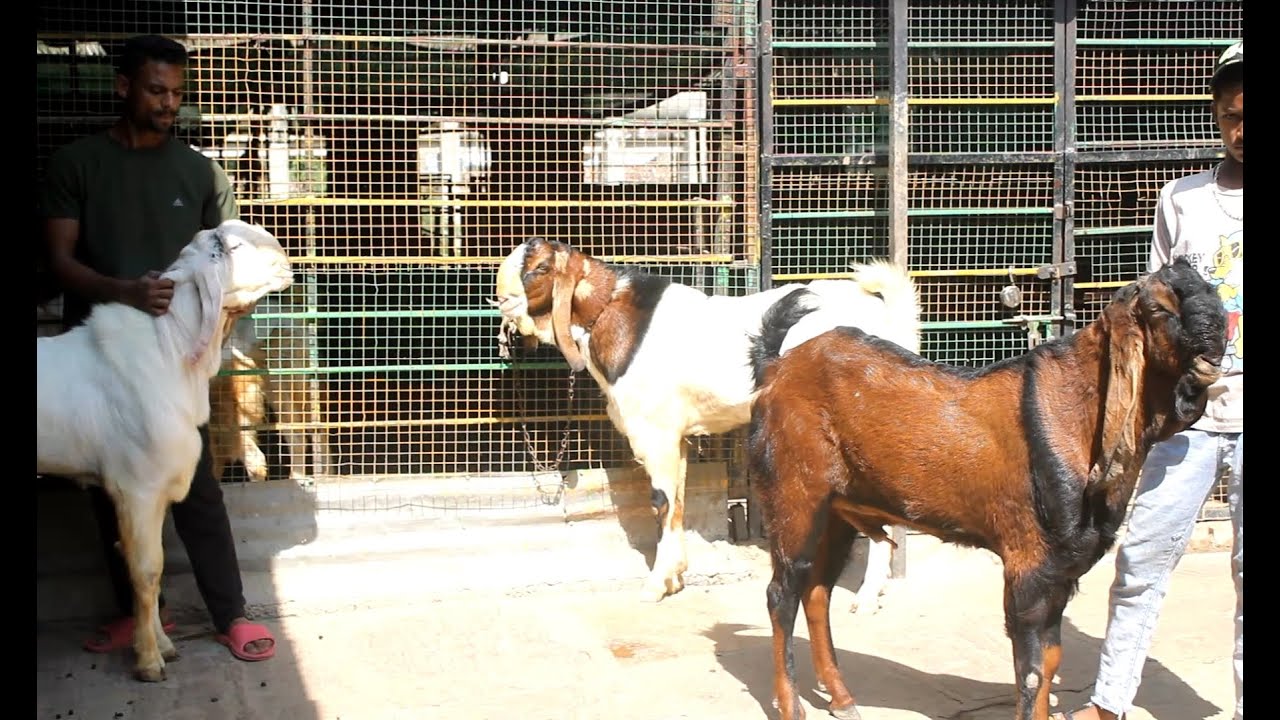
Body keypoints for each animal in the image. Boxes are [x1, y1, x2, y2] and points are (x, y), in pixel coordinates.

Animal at [493, 236, 921, 603]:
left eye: (539, 267)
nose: (501, 299)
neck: (614, 316)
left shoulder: (656, 433)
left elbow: (662, 502)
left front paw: (656, 585)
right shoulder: (677, 437)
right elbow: (680, 500)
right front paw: (677, 575)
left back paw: (866, 597)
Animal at [745, 256, 1226, 720]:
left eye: (1213, 292)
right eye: (1160, 308)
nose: (1216, 339)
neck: (1078, 415)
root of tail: (776, 368)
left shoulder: (1061, 571)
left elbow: (1051, 660)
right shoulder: (1030, 565)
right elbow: (1031, 671)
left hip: (838, 510)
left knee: (817, 592)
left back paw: (842, 699)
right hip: (795, 495)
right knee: (781, 594)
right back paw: (791, 706)